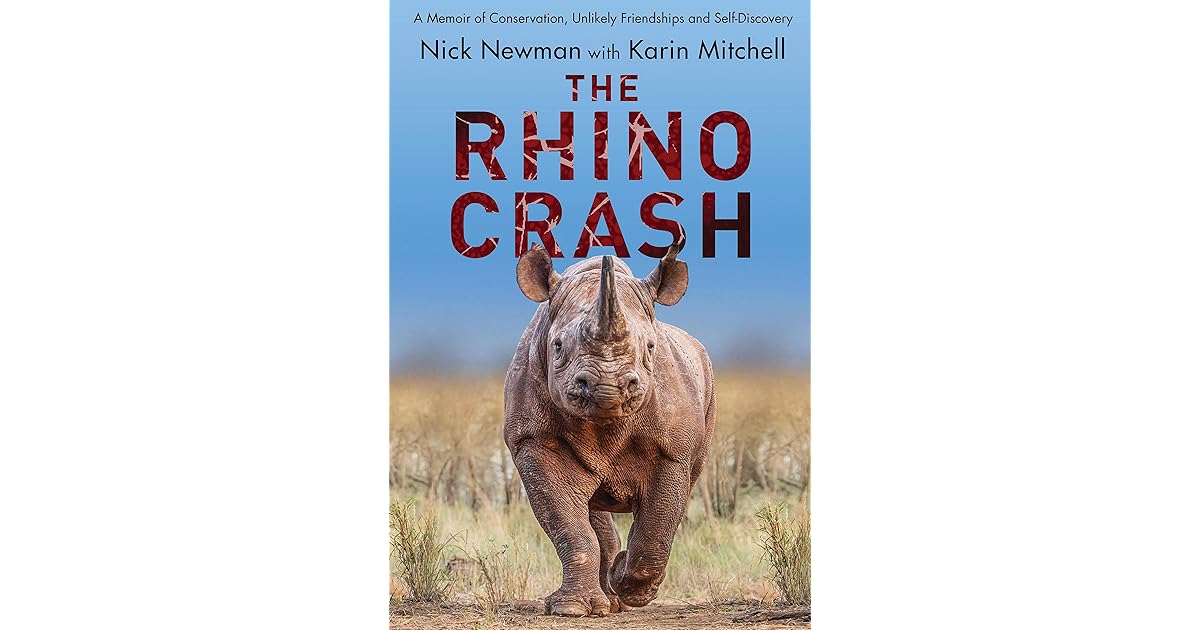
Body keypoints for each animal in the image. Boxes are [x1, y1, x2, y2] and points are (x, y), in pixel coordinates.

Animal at [504, 242, 716, 616]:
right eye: (557, 345)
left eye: (650, 347)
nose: (608, 387)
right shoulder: (531, 440)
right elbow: (568, 524)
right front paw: (570, 608)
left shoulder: (673, 451)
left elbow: (657, 525)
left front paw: (629, 585)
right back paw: (606, 601)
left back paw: (617, 591)